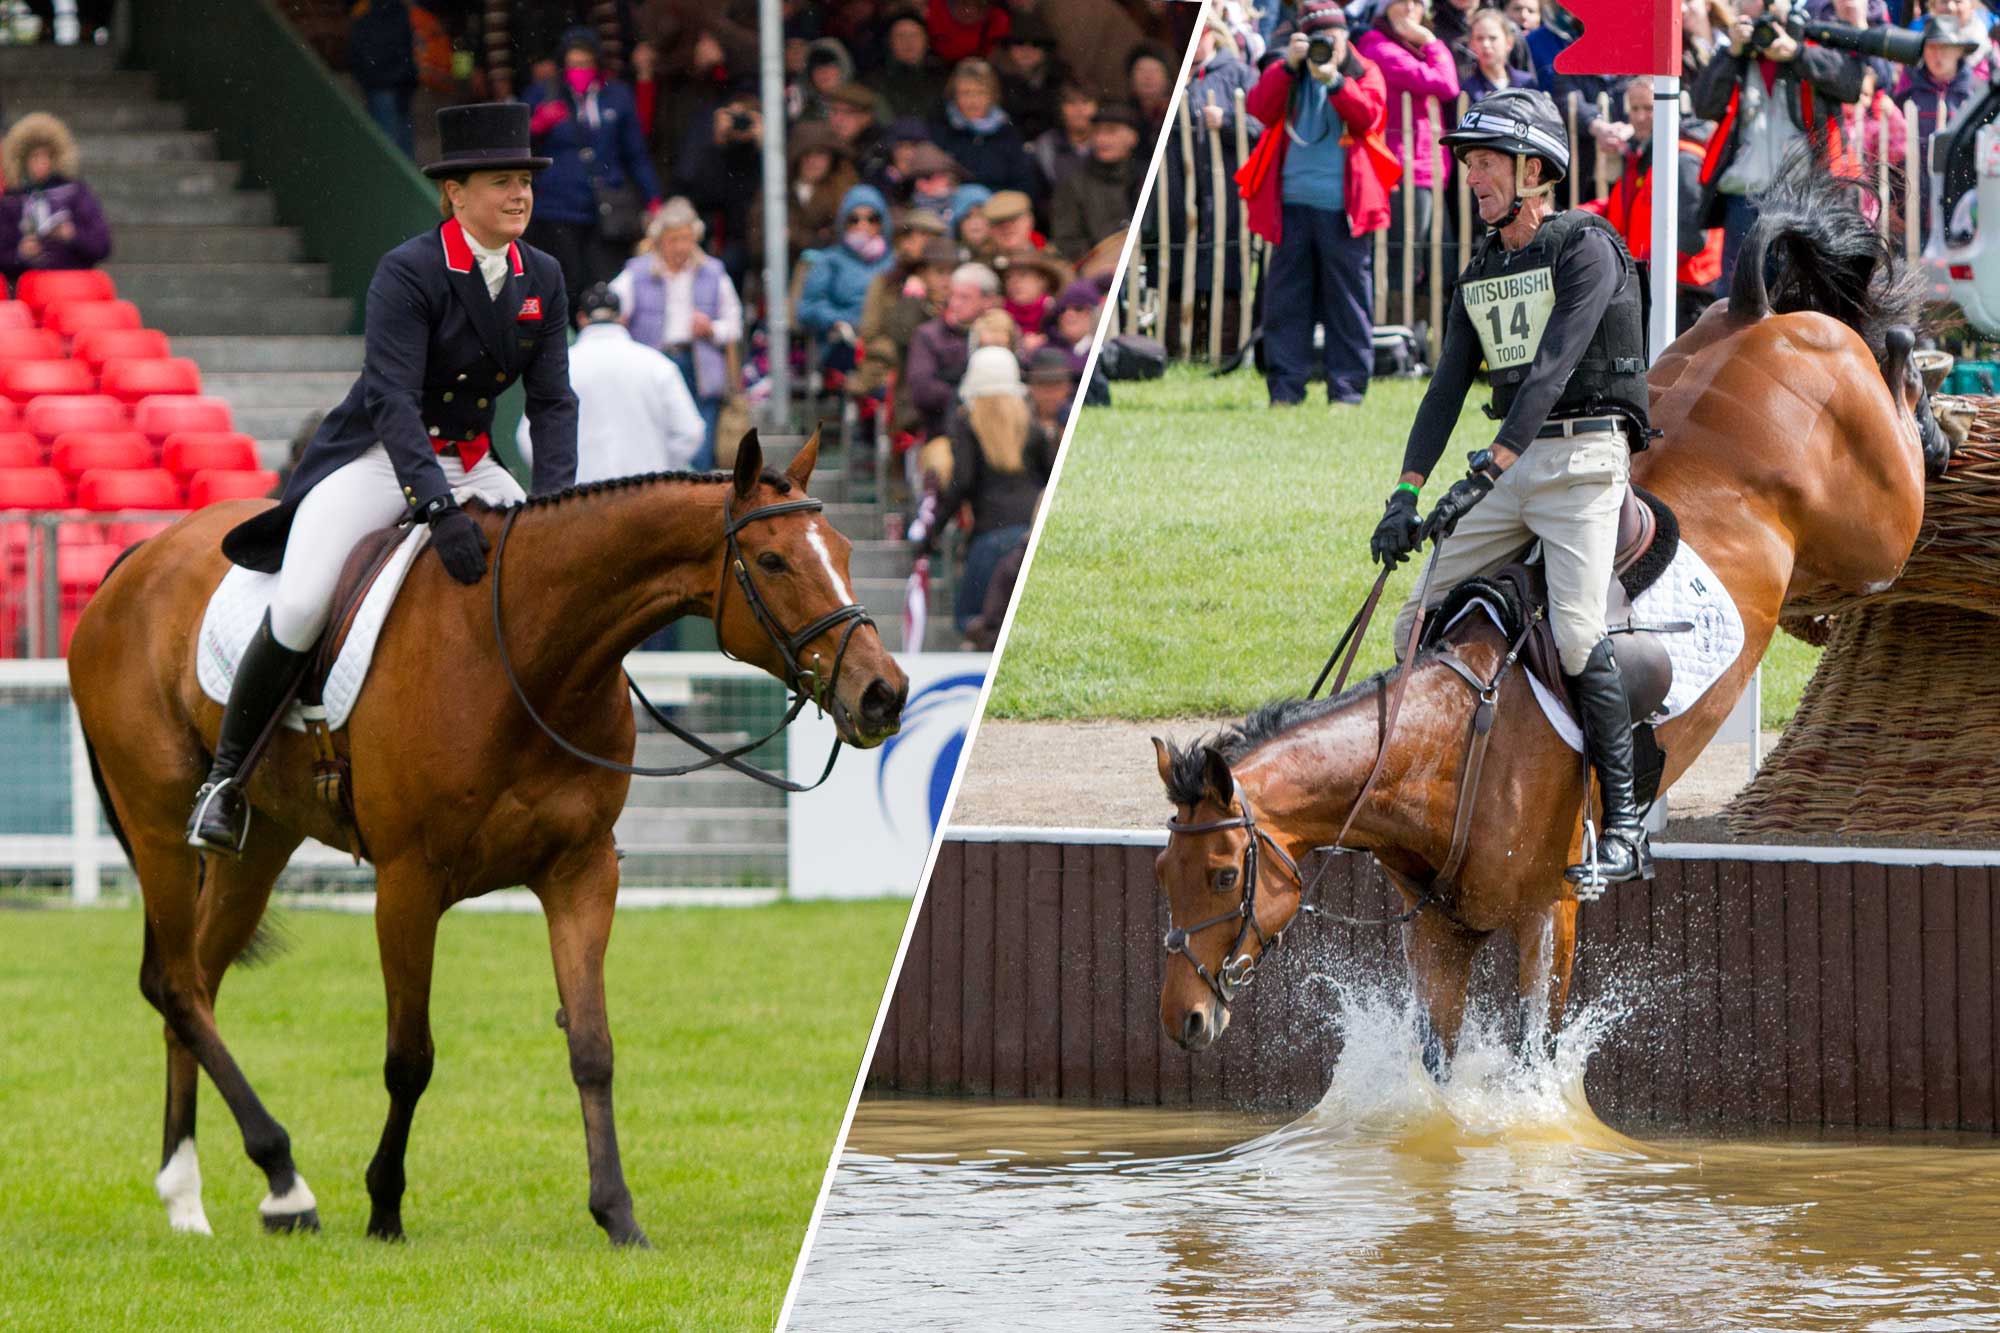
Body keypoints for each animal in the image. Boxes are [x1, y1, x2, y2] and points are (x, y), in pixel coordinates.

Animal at [67, 428, 908, 1247]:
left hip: (262, 840)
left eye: (844, 550)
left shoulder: (582, 870)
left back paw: (194, 1195)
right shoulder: (408, 881)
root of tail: (137, 559)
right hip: (158, 820)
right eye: (772, 560)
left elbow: (592, 1045)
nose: (883, 692)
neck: (528, 656)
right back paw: (280, 1175)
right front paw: (385, 1206)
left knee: (197, 982)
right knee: (176, 983)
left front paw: (617, 1212)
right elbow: (410, 1057)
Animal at [1151, 163, 1946, 1074]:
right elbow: (1438, 1071)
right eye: (1163, 875)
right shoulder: (1438, 936)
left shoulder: (1548, 918)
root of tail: (1756, 315)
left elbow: (1535, 1064)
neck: (1449, 747)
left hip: (1878, 526)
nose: (1185, 1019)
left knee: (1893, 370)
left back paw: (1933, 402)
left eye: (1221, 873)